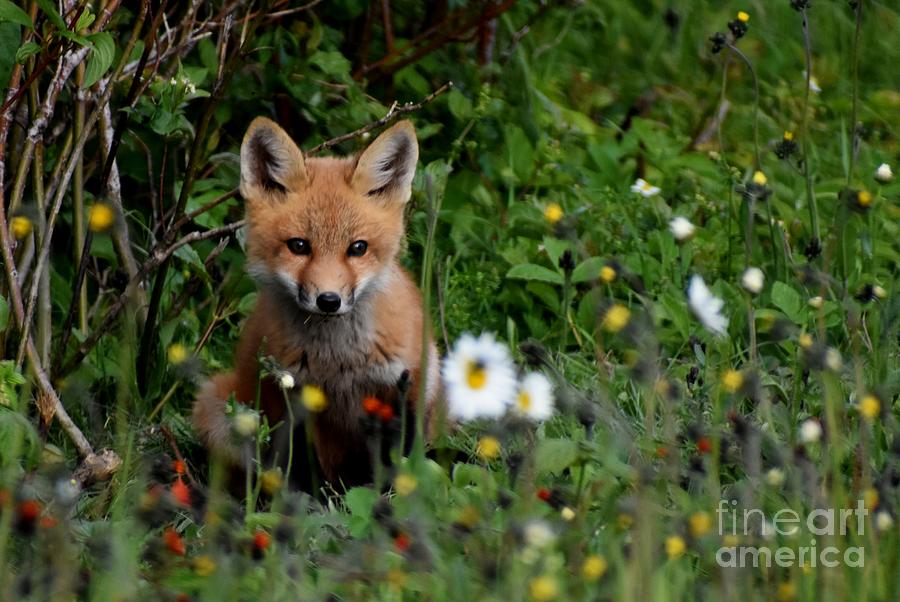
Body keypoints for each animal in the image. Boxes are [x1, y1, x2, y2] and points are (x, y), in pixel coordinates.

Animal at [192, 117, 440, 487]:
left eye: (358, 248)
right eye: (299, 246)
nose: (328, 300)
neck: (339, 362)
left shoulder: (403, 387)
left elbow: (400, 464)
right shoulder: (291, 397)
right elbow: (301, 472)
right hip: (221, 407)